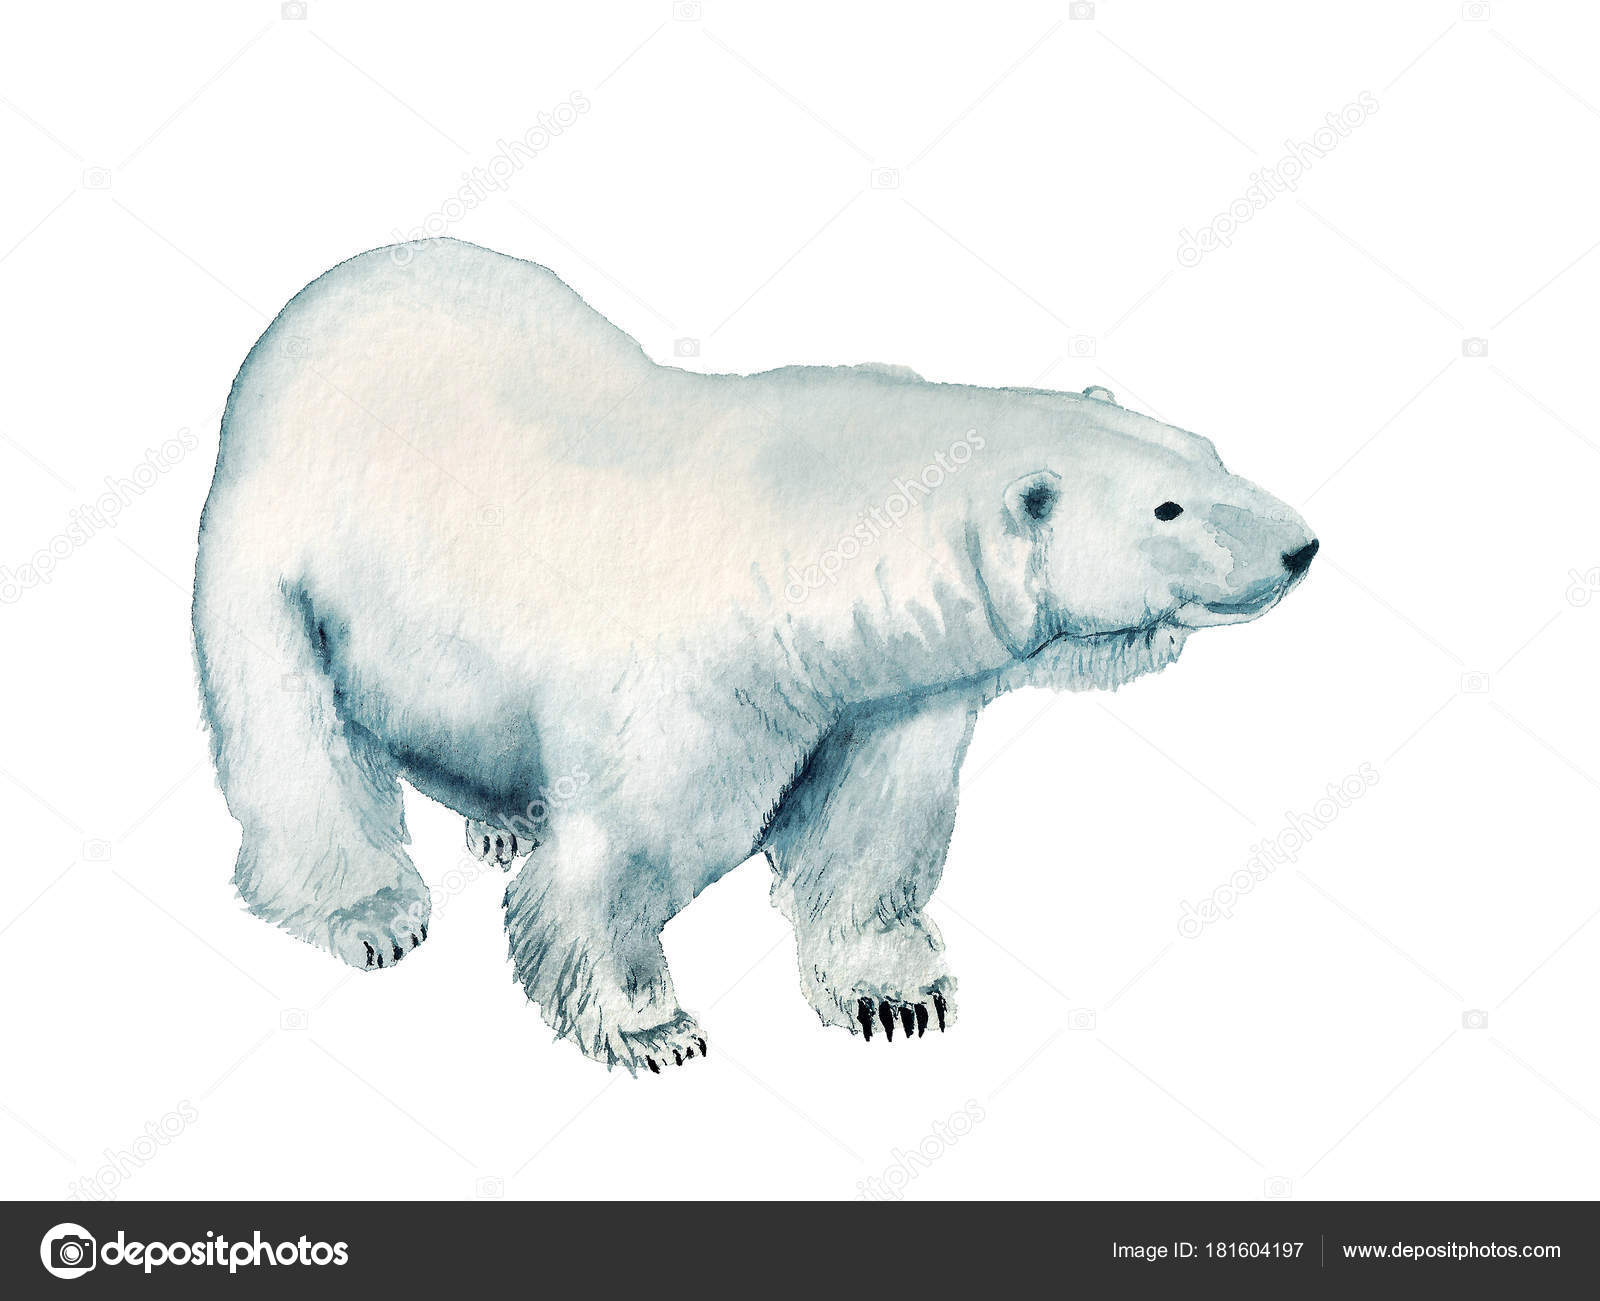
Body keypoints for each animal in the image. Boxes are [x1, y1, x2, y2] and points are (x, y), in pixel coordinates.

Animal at [192, 238, 1317, 1072]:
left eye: (1209, 451)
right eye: (1166, 508)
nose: (1300, 546)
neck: (813, 533)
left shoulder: (884, 691)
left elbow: (871, 829)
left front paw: (893, 994)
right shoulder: (699, 674)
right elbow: (633, 849)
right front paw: (651, 1026)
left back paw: (506, 822)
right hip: (275, 547)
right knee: (292, 739)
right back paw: (368, 908)